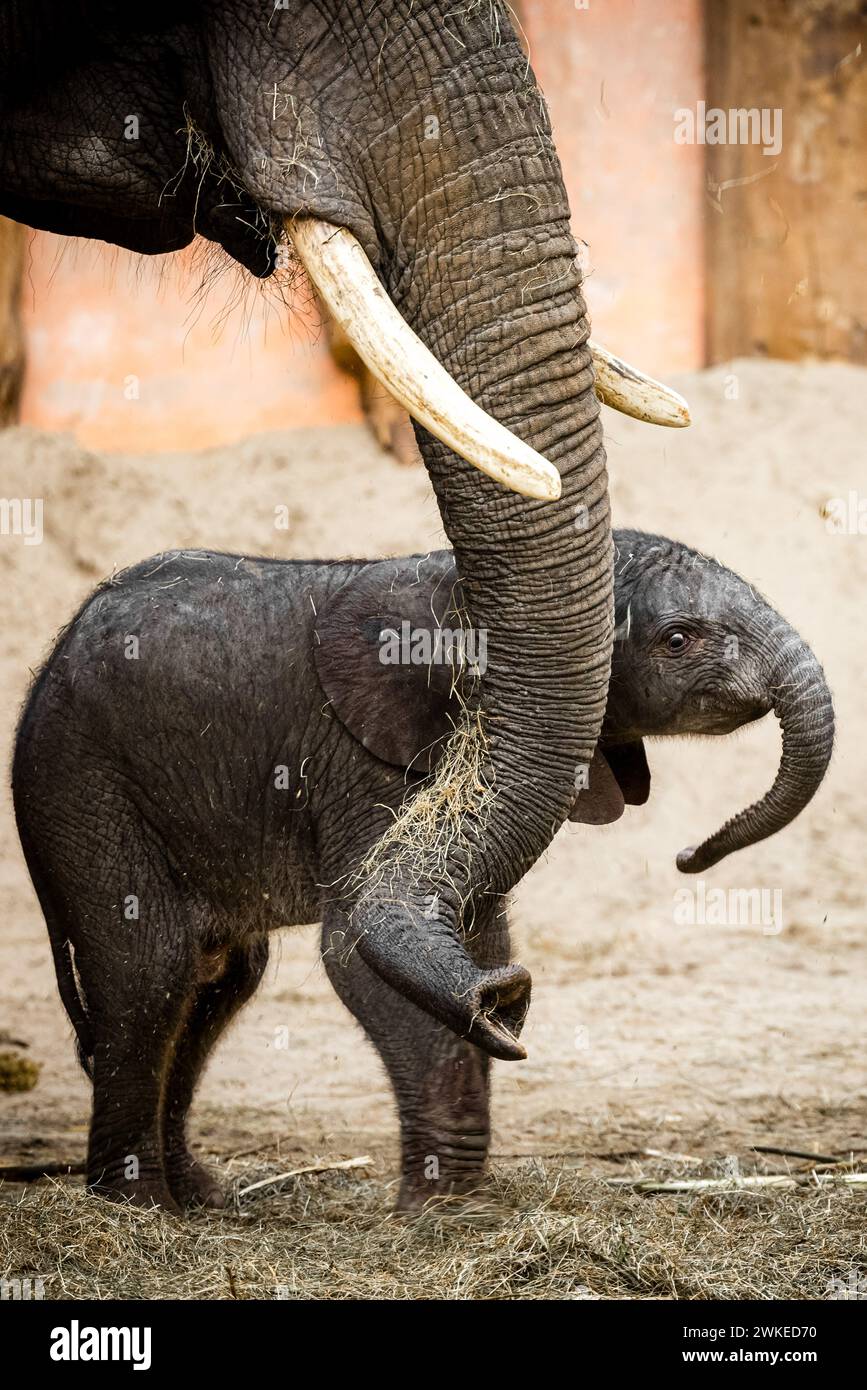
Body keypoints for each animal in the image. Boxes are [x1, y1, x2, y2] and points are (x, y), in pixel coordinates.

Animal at [13, 528, 833, 1212]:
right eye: (677, 640)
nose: (688, 857)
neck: (465, 593)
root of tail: (43, 670)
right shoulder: (363, 763)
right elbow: (355, 952)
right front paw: (440, 1210)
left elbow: (475, 930)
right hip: (81, 785)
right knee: (151, 969)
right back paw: (142, 1210)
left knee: (221, 980)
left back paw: (202, 1199)